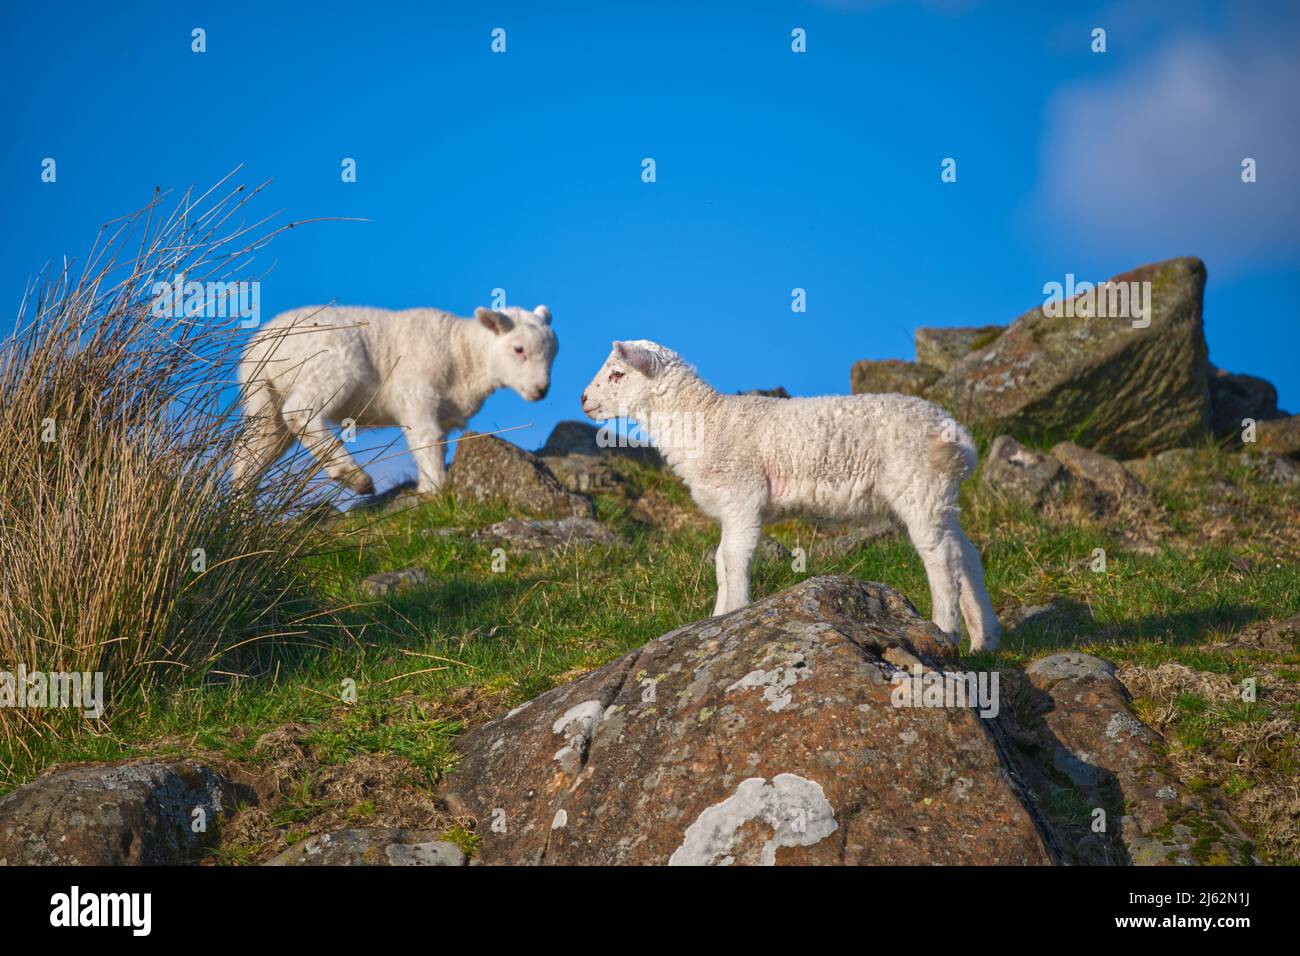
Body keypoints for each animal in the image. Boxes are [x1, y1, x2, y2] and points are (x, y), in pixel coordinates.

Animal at [233, 303, 557, 495]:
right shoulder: (417, 394)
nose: (541, 390)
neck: (463, 352)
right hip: (328, 368)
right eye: (518, 349)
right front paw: (436, 488)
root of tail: (257, 349)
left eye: (553, 353)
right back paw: (352, 476)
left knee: (251, 453)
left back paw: (241, 511)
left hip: (265, 400)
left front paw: (426, 485)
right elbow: (426, 440)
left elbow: (434, 443)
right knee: (300, 413)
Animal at [580, 340, 1000, 651]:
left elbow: (733, 559)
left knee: (941, 557)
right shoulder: (732, 505)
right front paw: (717, 618)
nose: (583, 399)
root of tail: (957, 436)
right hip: (940, 494)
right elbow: (720, 561)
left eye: (617, 374)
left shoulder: (743, 495)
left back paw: (946, 630)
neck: (707, 420)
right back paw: (985, 640)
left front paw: (735, 611)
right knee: (966, 554)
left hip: (919, 484)